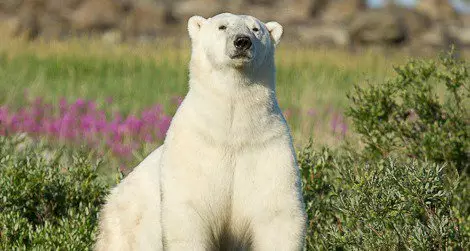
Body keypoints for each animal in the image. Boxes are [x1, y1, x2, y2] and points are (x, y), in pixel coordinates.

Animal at [96, 12, 308, 250]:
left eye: (256, 29)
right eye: (222, 26)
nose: (242, 41)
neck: (231, 129)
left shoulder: (267, 149)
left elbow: (276, 215)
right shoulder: (196, 151)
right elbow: (190, 214)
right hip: (126, 224)